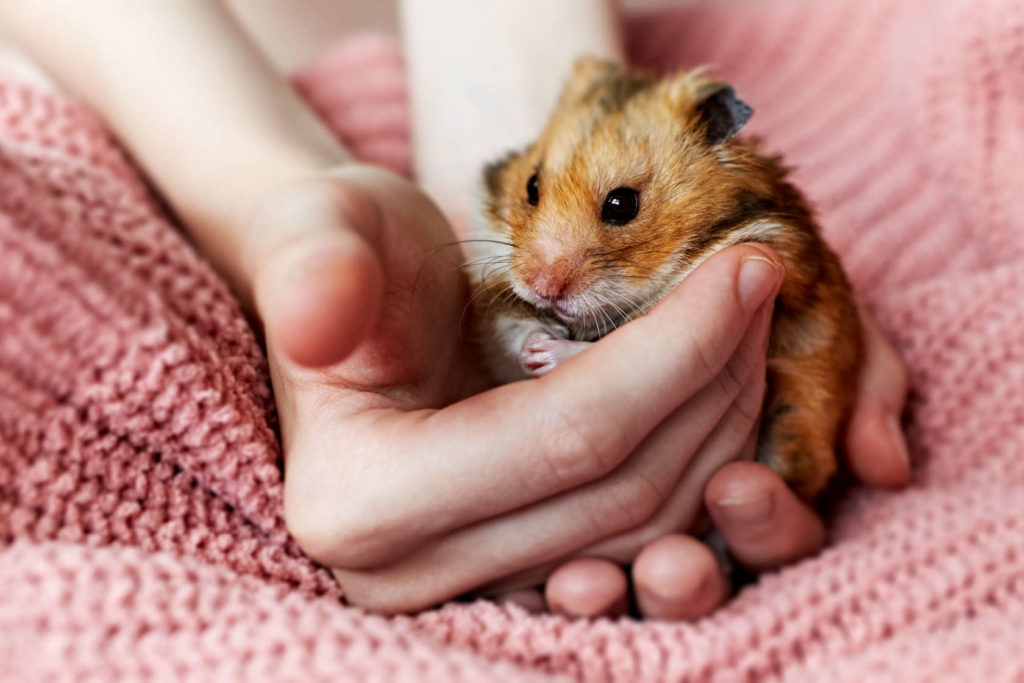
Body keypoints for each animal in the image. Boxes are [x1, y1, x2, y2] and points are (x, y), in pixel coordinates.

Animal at [469, 57, 861, 499]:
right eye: (532, 186)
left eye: (622, 204)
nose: (542, 288)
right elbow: (511, 325)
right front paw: (533, 347)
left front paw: (543, 354)